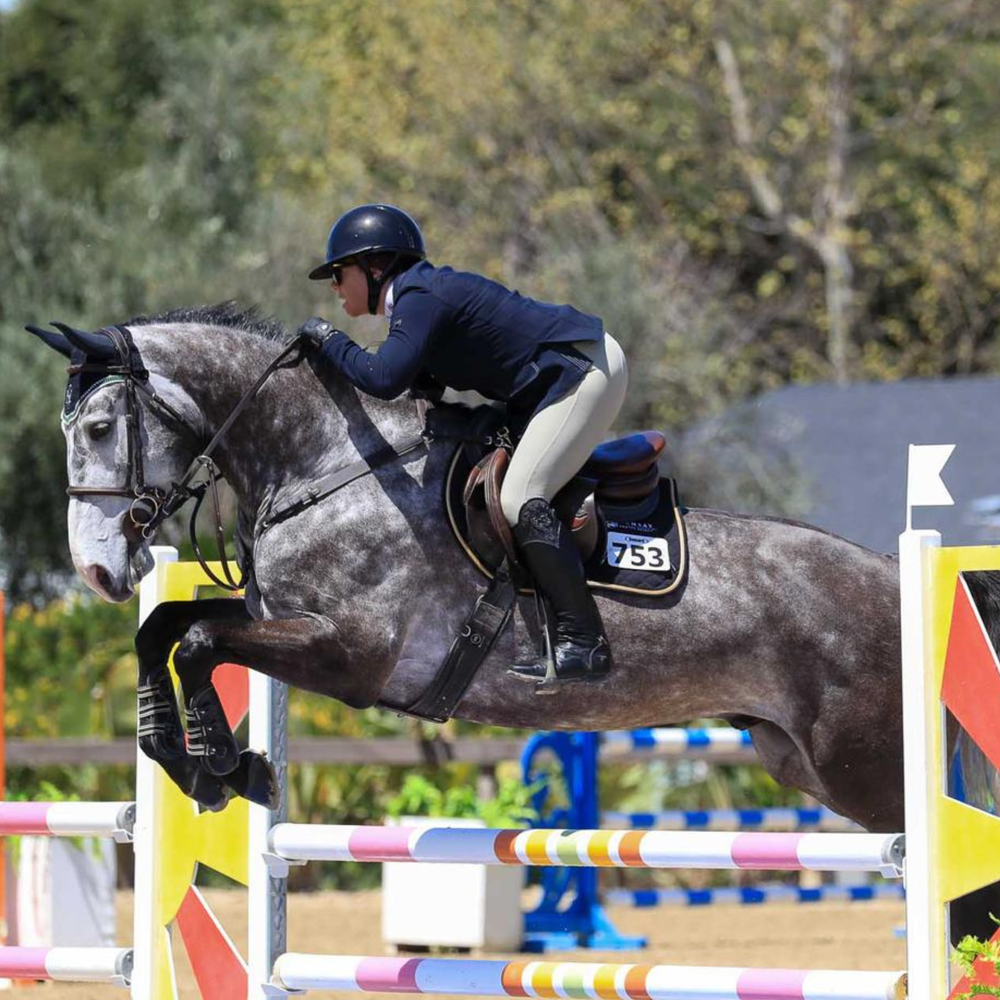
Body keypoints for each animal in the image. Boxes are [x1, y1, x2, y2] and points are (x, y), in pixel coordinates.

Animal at [26, 304, 999, 941]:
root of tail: (888, 572)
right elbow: (166, 630)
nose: (97, 570)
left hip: (865, 766)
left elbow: (193, 641)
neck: (328, 463)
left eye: (102, 427)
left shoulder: (349, 655)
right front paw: (194, 757)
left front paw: (225, 768)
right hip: (798, 758)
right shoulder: (284, 622)